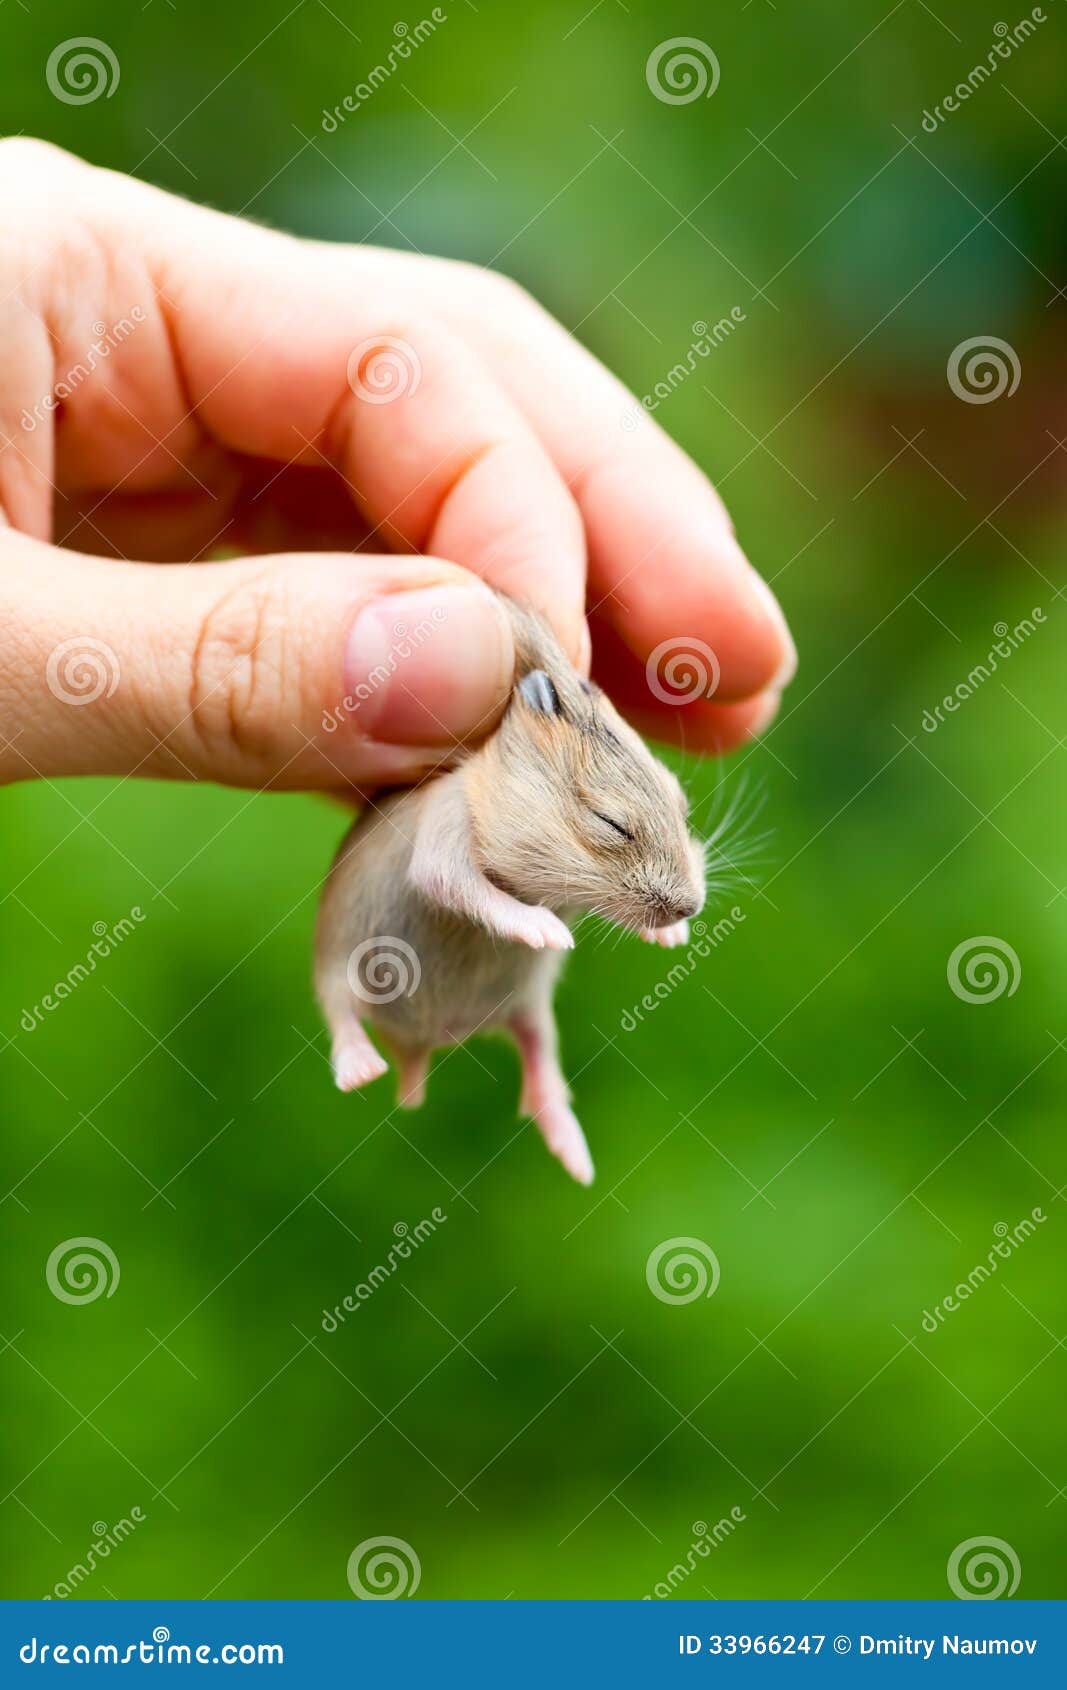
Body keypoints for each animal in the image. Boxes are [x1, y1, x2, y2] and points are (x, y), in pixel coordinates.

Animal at [314, 600, 706, 1186]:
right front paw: (550, 931)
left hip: (530, 1006)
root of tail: (426, 1046)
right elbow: (462, 885)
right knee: (341, 1017)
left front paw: (673, 938)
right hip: (336, 966)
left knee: (539, 1061)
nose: (691, 907)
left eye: (682, 806)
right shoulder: (447, 826)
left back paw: (577, 1162)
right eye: (610, 823)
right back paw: (362, 1071)